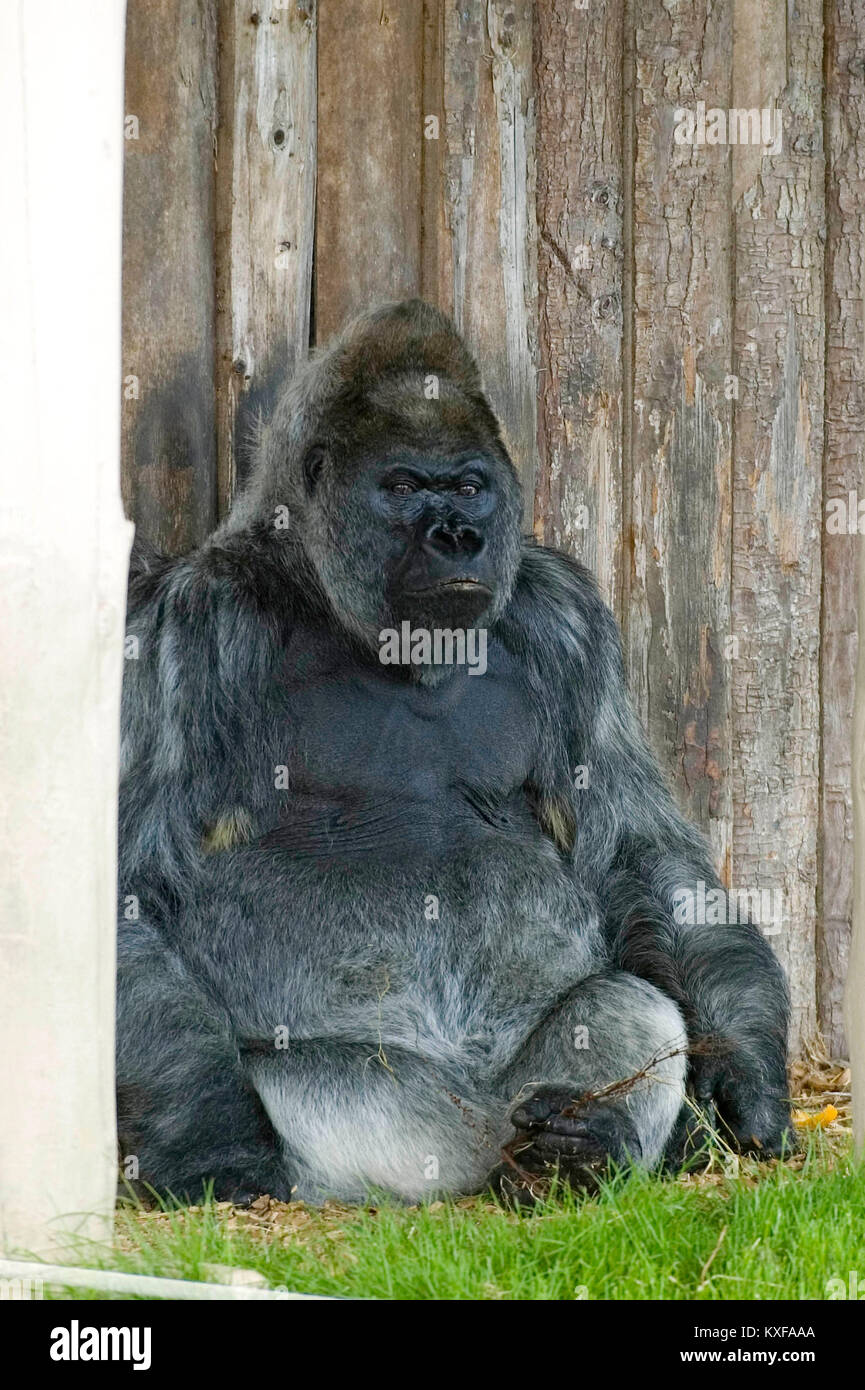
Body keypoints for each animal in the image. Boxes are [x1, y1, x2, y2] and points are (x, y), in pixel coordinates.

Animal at [116, 299, 791, 1206]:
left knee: (627, 1000)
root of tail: (469, 1176)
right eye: (402, 486)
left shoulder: (565, 615)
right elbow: (129, 889)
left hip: (512, 1107)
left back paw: (581, 1148)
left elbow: (643, 858)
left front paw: (745, 1076)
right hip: (407, 1134)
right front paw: (209, 1138)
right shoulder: (190, 626)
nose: (460, 535)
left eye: (468, 485)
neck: (320, 589)